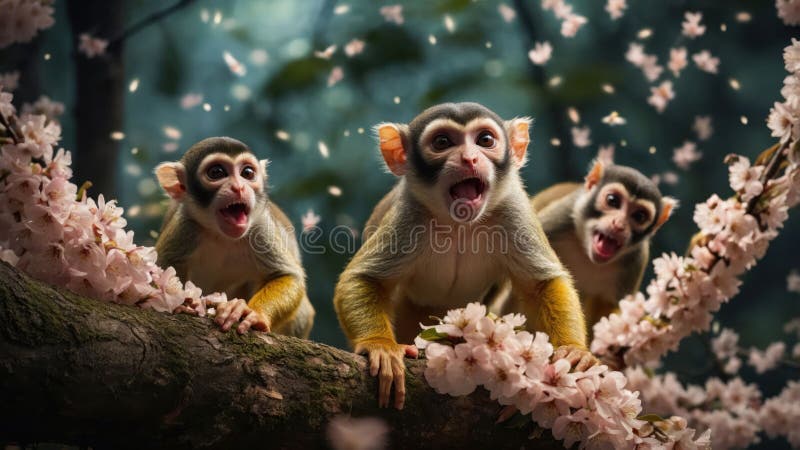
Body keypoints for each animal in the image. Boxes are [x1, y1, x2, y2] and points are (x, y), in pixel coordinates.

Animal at [154, 136, 315, 338]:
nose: (238, 187)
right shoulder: (185, 225)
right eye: (216, 172)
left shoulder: (259, 228)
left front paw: (252, 312)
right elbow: (160, 269)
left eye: (247, 173)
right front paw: (182, 302)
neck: (221, 235)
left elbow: (288, 275)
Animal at [333, 102, 596, 410]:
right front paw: (380, 345)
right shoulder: (409, 212)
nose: (470, 158)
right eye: (442, 142)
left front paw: (574, 351)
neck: (460, 223)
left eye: (485, 140)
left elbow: (541, 284)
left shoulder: (512, 207)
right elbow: (363, 279)